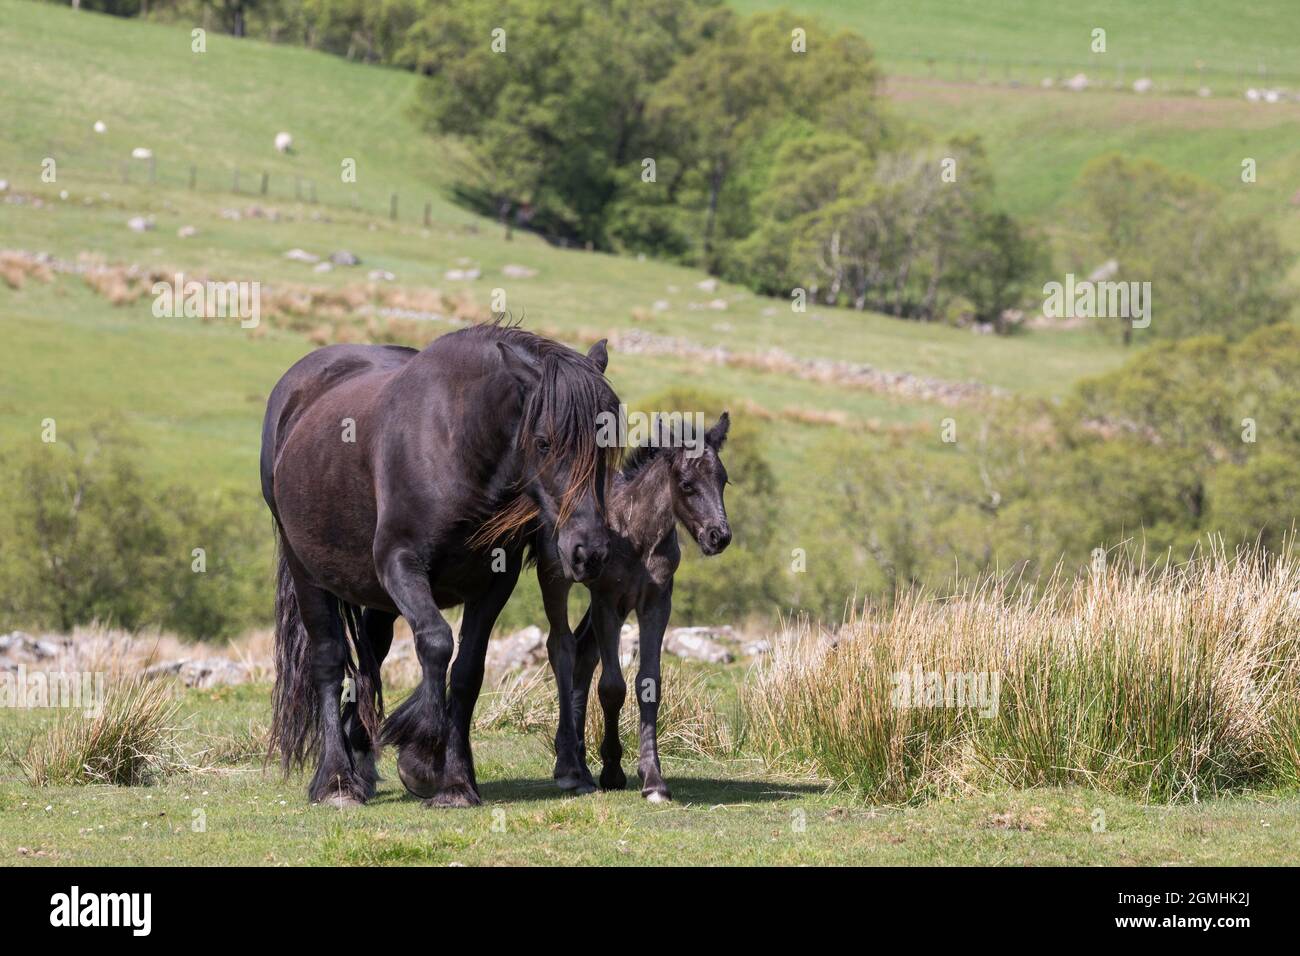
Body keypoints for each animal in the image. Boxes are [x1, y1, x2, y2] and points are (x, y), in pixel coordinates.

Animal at [260, 323, 619, 808]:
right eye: (543, 442)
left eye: (607, 443)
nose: (589, 550)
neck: (456, 447)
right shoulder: (400, 564)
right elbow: (435, 643)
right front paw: (423, 757)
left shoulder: (493, 585)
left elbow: (467, 671)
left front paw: (456, 783)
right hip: (308, 574)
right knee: (331, 662)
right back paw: (336, 781)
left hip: (377, 598)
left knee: (371, 656)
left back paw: (361, 764)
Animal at [538, 412, 731, 801]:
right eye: (686, 484)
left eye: (723, 480)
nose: (719, 536)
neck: (635, 534)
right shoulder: (607, 601)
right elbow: (613, 687)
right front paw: (613, 769)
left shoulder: (656, 603)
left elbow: (648, 682)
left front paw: (653, 779)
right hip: (557, 579)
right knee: (563, 647)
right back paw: (569, 764)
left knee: (583, 652)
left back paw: (580, 763)